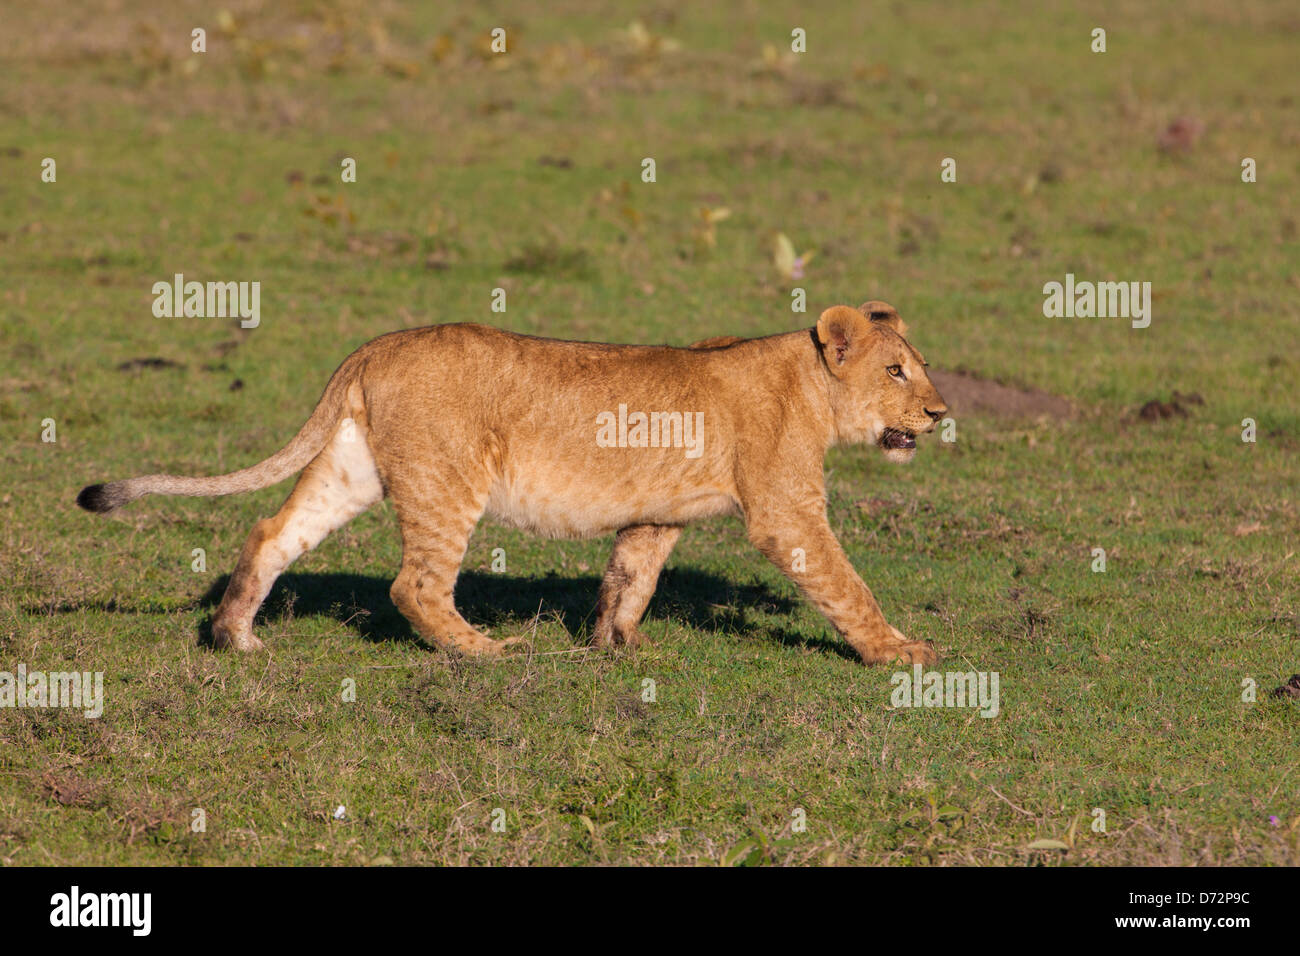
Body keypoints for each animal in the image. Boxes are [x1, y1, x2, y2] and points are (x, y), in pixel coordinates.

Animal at [76, 301, 948, 665]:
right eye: (897, 371)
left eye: (922, 366)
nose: (940, 412)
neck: (811, 380)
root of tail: (377, 345)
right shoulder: (786, 511)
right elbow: (845, 583)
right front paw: (899, 652)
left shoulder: (657, 514)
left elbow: (630, 577)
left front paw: (616, 647)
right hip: (447, 481)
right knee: (415, 586)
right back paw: (487, 653)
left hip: (352, 469)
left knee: (269, 535)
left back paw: (236, 637)